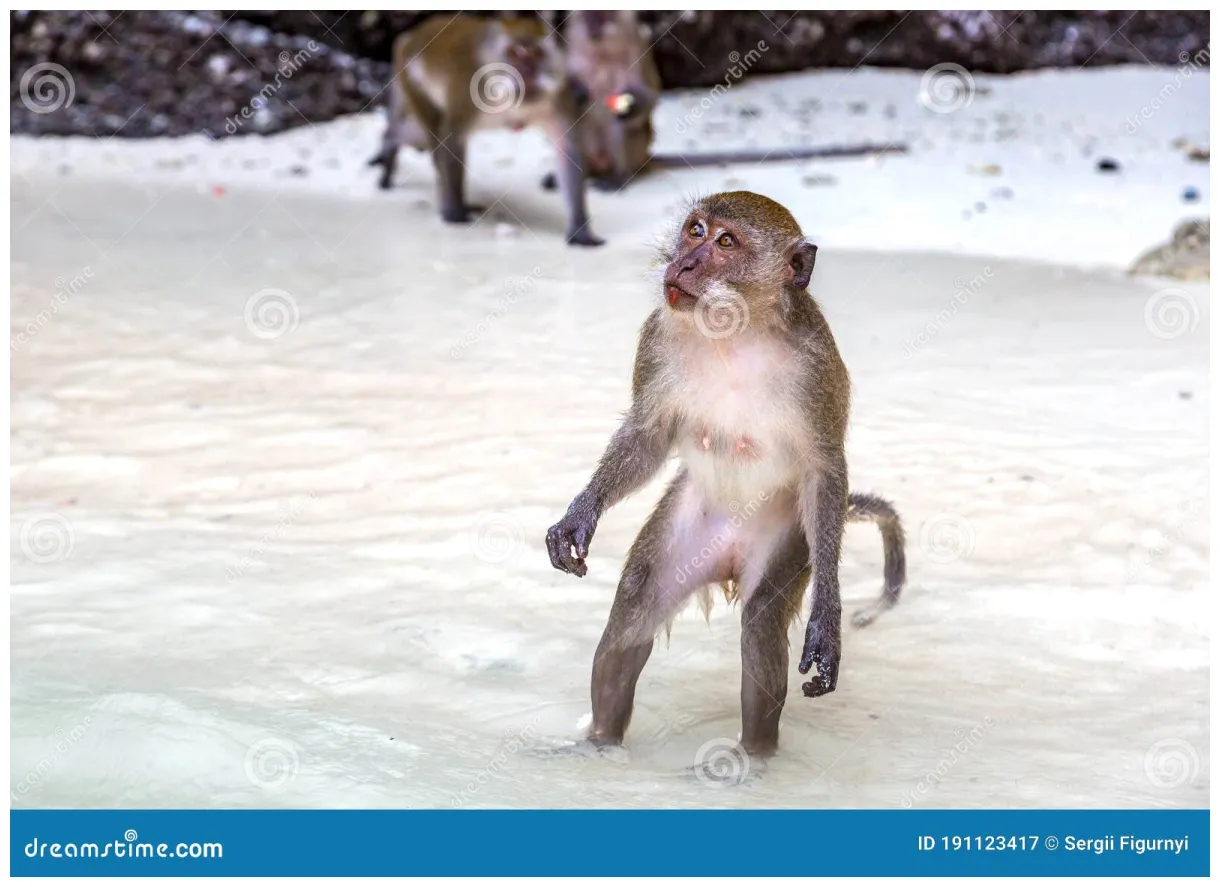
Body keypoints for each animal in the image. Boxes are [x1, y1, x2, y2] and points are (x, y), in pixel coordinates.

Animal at [367, 13, 604, 247]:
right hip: (411, 79)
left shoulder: (559, 96)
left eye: (536, 55)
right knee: (429, 134)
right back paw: (391, 148)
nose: (527, 74)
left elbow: (567, 151)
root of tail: (411, 36)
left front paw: (580, 230)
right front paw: (454, 211)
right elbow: (450, 136)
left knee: (417, 135)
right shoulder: (468, 88)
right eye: (515, 54)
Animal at [545, 191, 906, 757]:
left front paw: (827, 618)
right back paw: (602, 743)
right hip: (691, 526)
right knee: (633, 611)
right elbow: (648, 435)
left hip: (789, 533)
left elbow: (825, 469)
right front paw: (580, 515)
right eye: (695, 231)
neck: (733, 331)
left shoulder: (817, 367)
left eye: (727, 242)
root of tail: (730, 558)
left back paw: (754, 757)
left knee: (760, 624)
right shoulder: (657, 337)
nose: (685, 264)